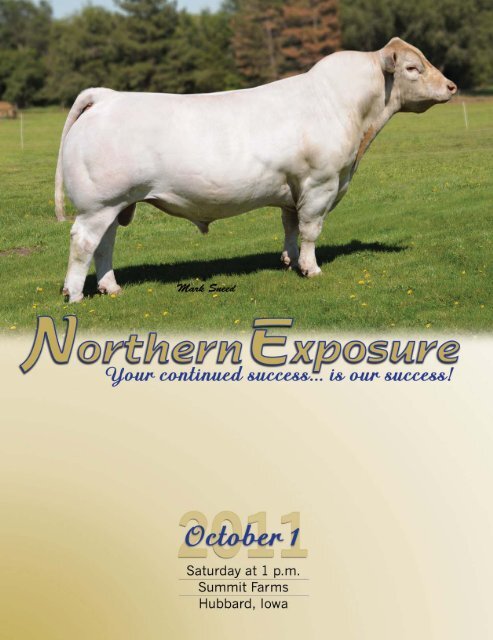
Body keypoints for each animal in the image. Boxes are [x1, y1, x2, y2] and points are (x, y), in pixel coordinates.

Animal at [55, 37, 457, 302]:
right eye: (412, 68)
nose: (452, 86)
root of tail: (107, 96)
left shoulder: (294, 190)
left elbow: (290, 227)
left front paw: (289, 262)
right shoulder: (320, 183)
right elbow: (311, 230)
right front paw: (311, 269)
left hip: (116, 204)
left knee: (104, 244)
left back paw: (111, 288)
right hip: (98, 204)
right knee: (84, 242)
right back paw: (73, 294)